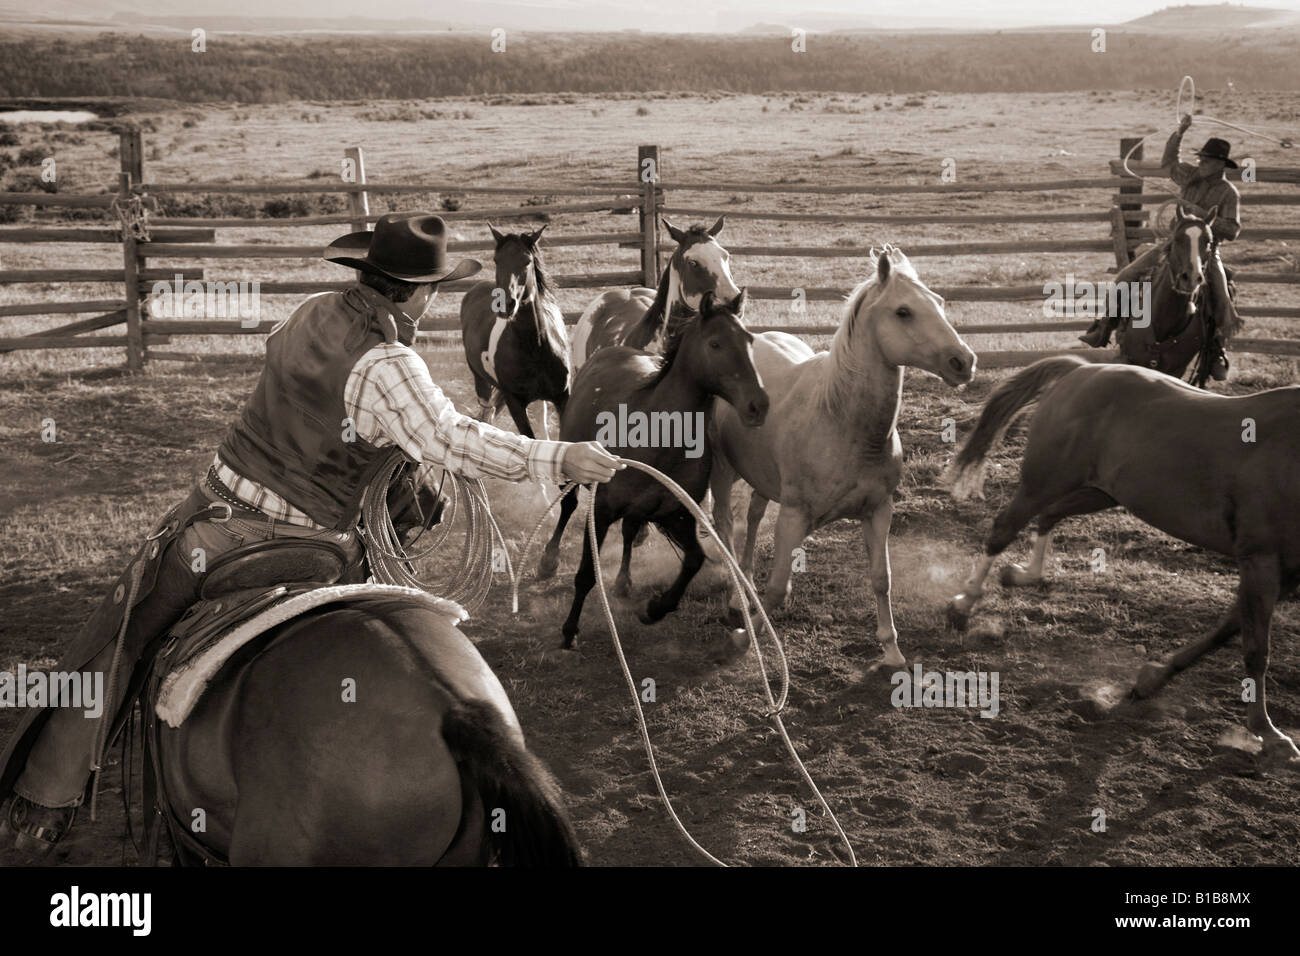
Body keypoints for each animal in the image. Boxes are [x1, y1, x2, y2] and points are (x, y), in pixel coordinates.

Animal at [460, 225, 571, 439]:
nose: (505, 304)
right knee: (486, 413)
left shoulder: (563, 398)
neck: (535, 348)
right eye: (496, 259)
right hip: (480, 381)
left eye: (527, 261)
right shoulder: (515, 403)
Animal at [537, 290, 769, 649]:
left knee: (630, 530)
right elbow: (587, 573)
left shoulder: (676, 513)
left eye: (749, 340)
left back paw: (623, 581)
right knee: (568, 505)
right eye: (715, 343)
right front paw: (570, 629)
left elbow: (694, 560)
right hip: (574, 473)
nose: (759, 405)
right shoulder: (601, 511)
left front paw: (655, 609)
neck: (657, 434)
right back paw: (548, 560)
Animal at [709, 246, 976, 668]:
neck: (841, 422)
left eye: (939, 302)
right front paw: (745, 638)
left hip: (762, 481)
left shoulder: (878, 510)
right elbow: (778, 587)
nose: (963, 362)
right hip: (722, 473)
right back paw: (738, 596)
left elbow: (881, 578)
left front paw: (891, 650)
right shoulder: (794, 516)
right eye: (903, 311)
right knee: (724, 525)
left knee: (751, 519)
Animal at [945, 355, 1300, 765]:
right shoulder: (1261, 559)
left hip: (1100, 492)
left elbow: (1226, 629)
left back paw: (1021, 575)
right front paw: (1269, 734)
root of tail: (1080, 370)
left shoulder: (1286, 572)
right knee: (1004, 528)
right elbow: (1256, 650)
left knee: (1048, 516)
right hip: (1045, 481)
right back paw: (964, 605)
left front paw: (1151, 680)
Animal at [1113, 205, 1237, 387]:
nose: (1191, 278)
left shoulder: (1176, 371)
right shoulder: (1129, 358)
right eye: (1178, 239)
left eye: (1208, 242)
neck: (1163, 320)